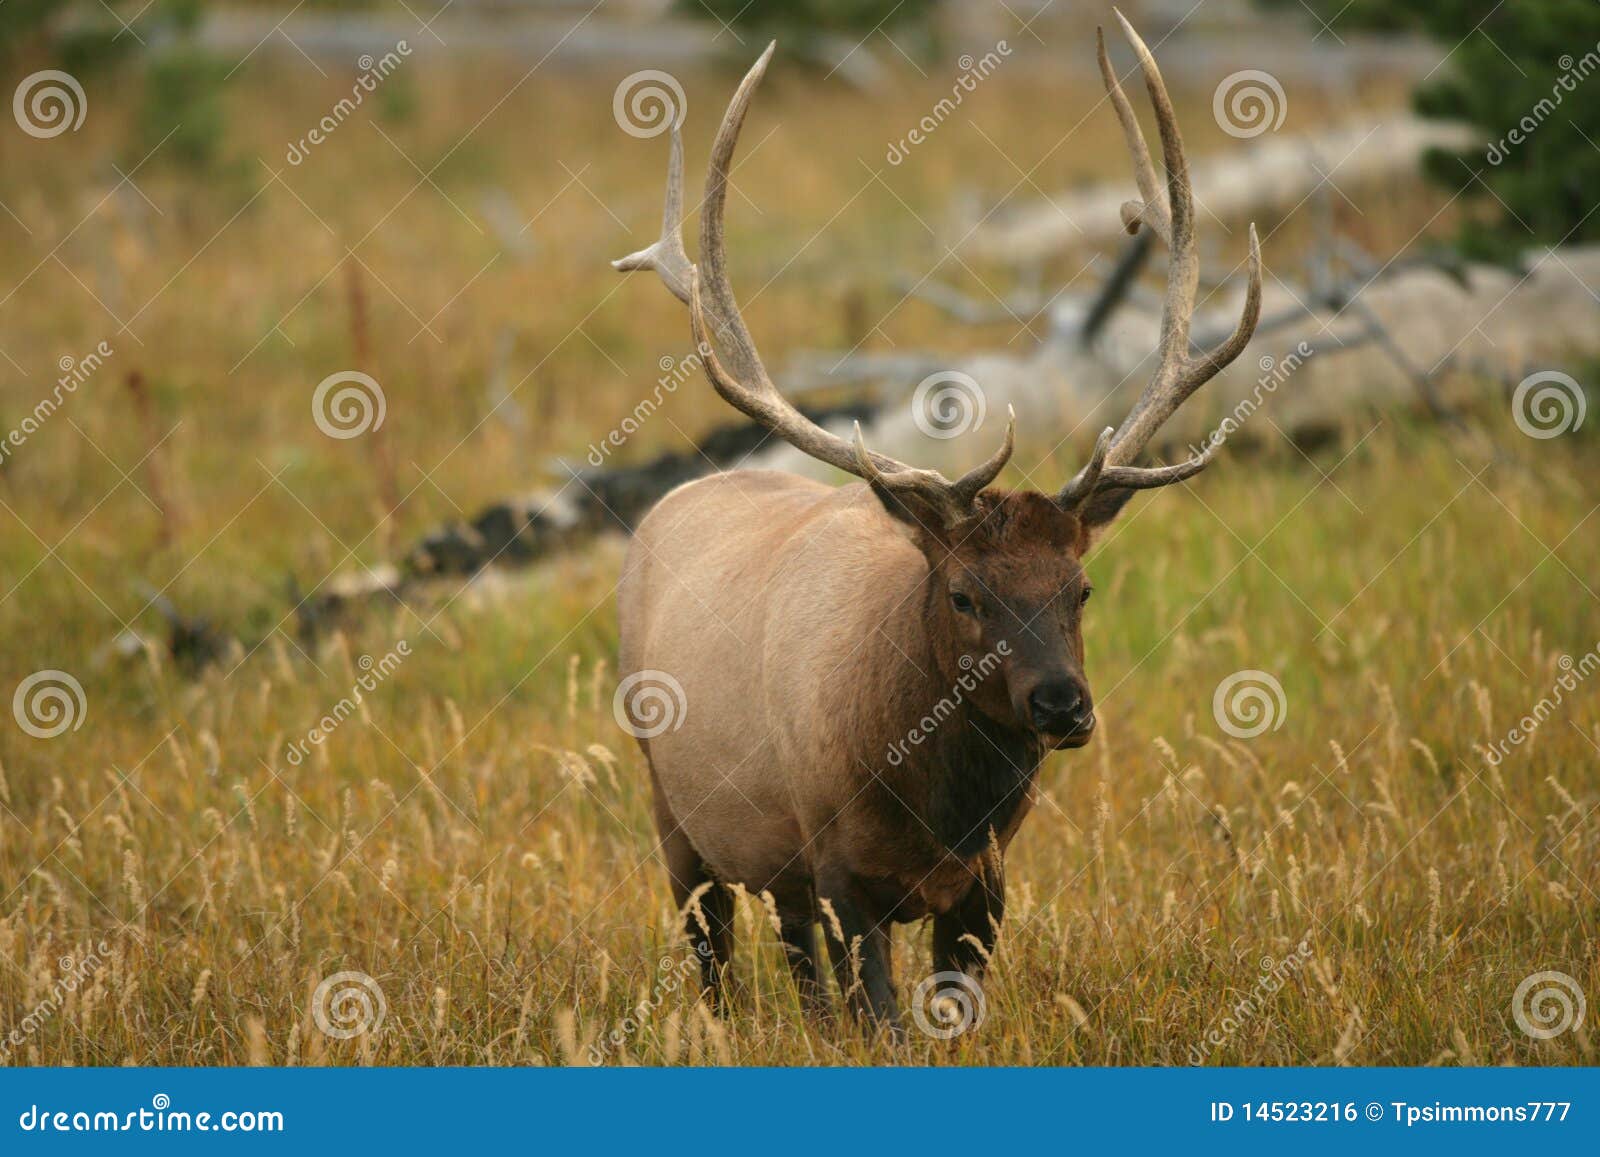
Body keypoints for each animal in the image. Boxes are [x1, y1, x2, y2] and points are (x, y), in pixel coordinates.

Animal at [612, 13, 1261, 1036]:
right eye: (963, 592)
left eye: (1082, 585)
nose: (1061, 704)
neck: (933, 805)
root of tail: (668, 505)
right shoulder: (841, 869)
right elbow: (876, 1020)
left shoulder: (985, 881)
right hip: (674, 813)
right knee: (715, 956)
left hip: (775, 866)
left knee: (795, 966)